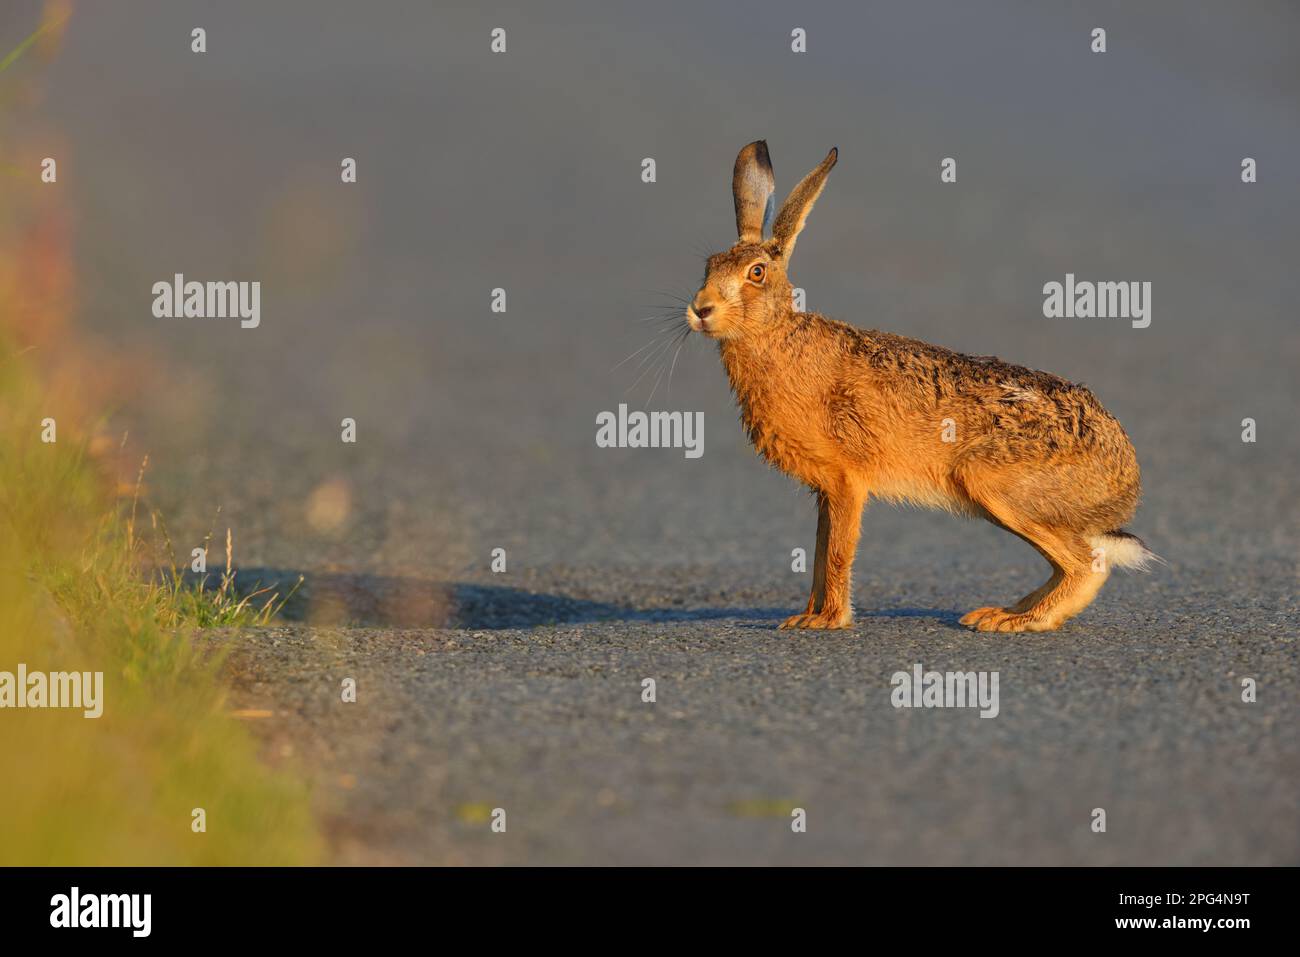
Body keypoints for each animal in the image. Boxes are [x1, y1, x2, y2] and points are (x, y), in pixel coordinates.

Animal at [685, 140, 1156, 632]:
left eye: (756, 273)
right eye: (708, 267)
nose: (701, 309)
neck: (774, 333)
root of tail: (1125, 481)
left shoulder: (847, 480)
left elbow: (836, 553)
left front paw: (827, 620)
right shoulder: (826, 490)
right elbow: (818, 554)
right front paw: (805, 616)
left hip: (991, 482)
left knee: (1085, 565)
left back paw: (1014, 621)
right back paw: (1000, 612)